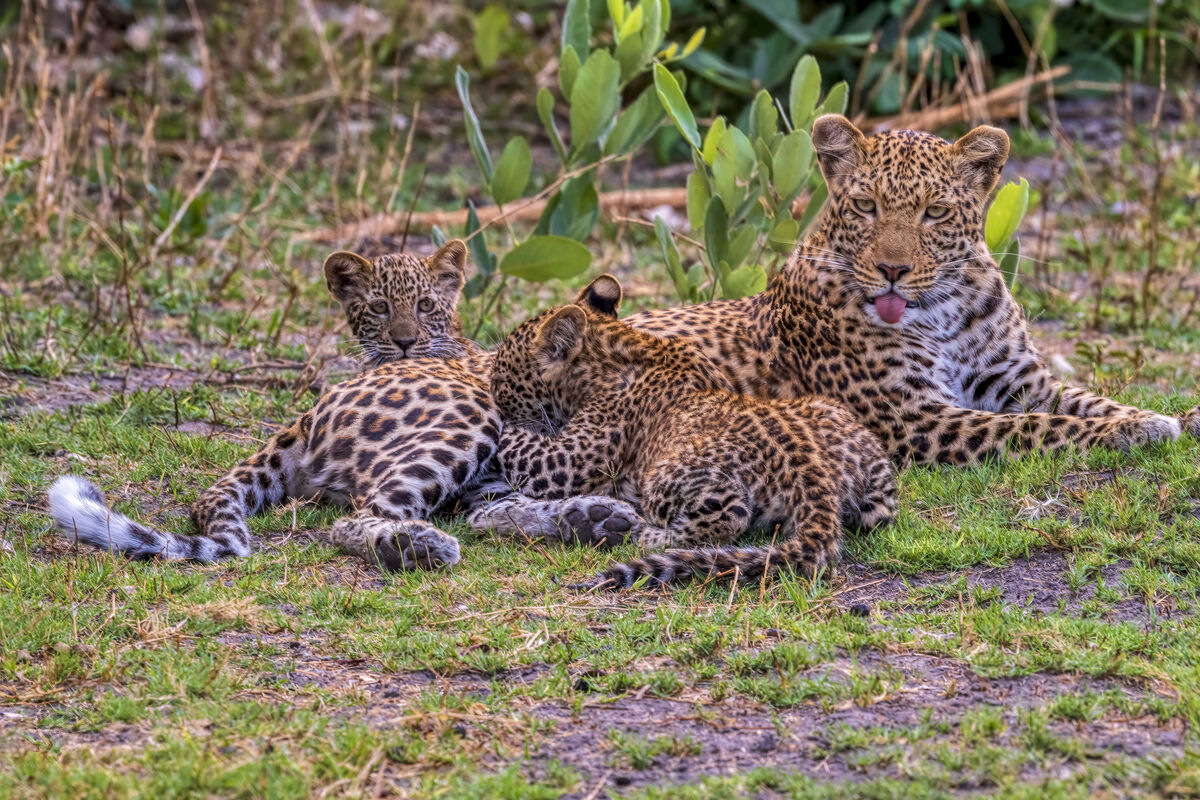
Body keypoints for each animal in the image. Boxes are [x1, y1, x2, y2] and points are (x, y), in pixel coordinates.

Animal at [48, 240, 640, 571]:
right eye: (378, 308)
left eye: (426, 306)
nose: (405, 341)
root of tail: (301, 421)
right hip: (466, 420)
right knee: (359, 519)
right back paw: (414, 547)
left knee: (487, 511)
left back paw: (594, 518)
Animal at [489, 274, 897, 589]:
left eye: (500, 379)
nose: (492, 392)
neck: (615, 346)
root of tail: (813, 474)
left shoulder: (566, 462)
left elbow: (519, 444)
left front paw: (499, 421)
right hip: (861, 457)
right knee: (876, 516)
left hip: (670, 474)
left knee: (728, 517)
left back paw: (644, 534)